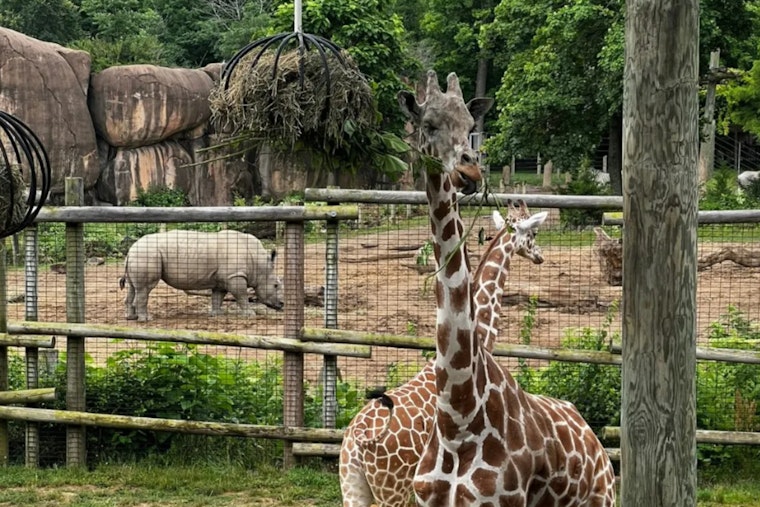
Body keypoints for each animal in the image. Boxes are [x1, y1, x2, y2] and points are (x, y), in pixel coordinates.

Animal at [399, 70, 616, 506]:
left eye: (471, 124)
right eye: (428, 125)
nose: (469, 173)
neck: (458, 416)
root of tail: (596, 443)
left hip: (606, 498)